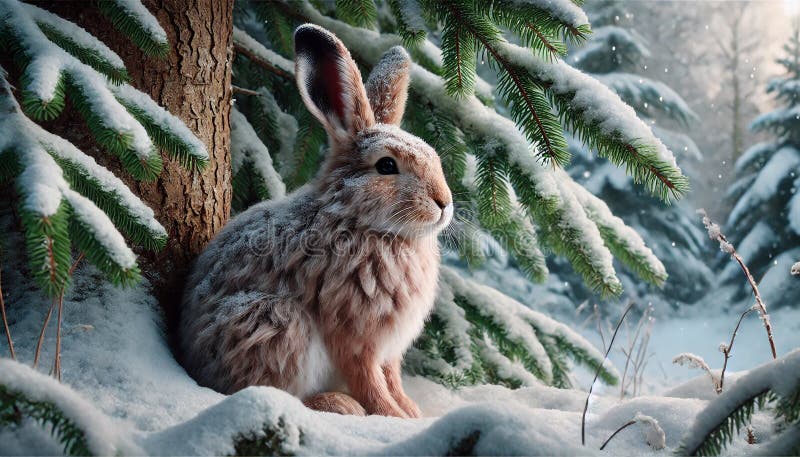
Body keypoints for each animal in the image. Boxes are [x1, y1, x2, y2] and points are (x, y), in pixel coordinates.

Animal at [179, 24, 453, 418]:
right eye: (387, 165)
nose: (444, 203)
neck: (358, 221)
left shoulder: (388, 350)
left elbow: (392, 378)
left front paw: (412, 413)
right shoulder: (355, 337)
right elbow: (370, 382)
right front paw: (391, 416)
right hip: (273, 320)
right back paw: (338, 404)